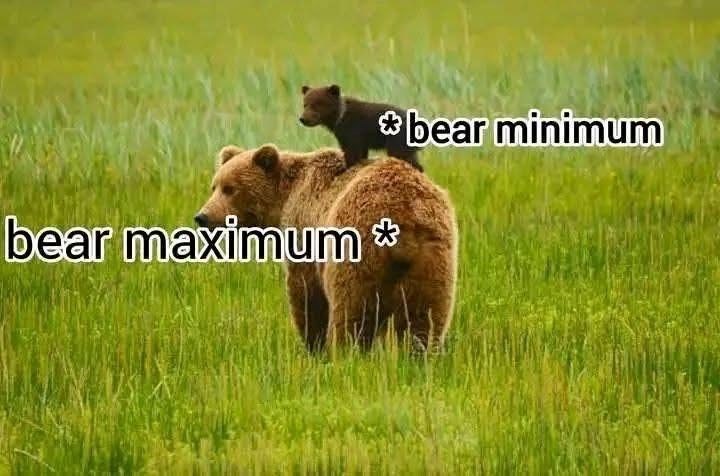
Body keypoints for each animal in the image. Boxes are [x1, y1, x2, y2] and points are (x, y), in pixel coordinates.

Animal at [194, 144, 457, 354]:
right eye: (214, 186)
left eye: (231, 189)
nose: (202, 217)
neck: (285, 199)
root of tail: (403, 216)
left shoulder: (305, 231)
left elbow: (305, 294)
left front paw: (313, 345)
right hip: (433, 258)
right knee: (425, 317)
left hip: (357, 253)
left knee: (351, 311)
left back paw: (345, 354)